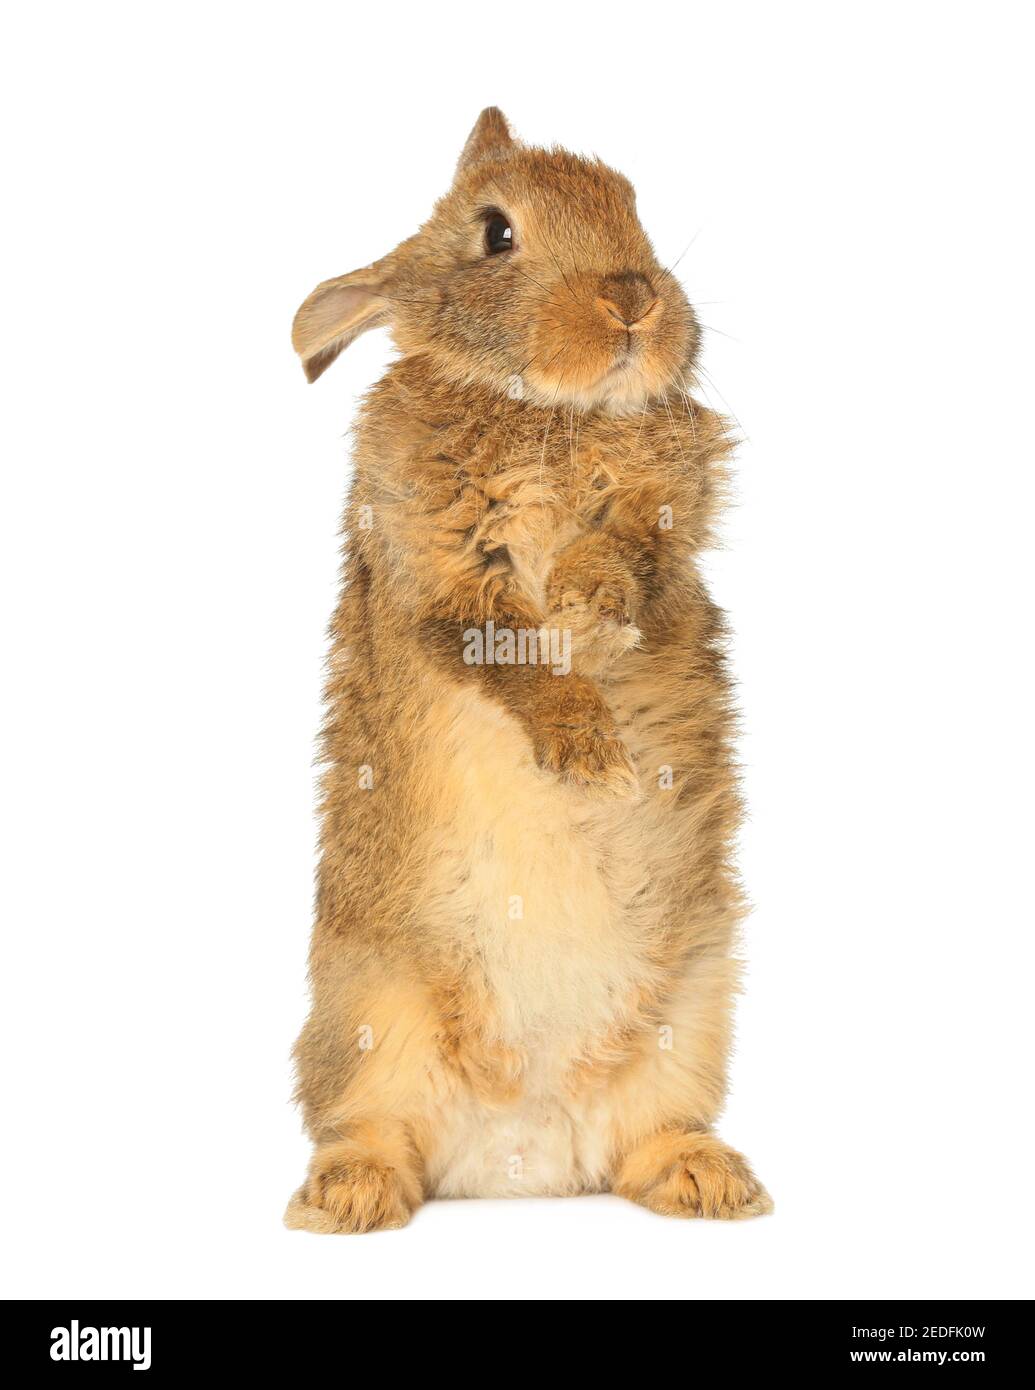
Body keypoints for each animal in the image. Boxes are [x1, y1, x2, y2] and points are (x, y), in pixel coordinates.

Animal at [284, 108, 771, 1233]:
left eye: (630, 203)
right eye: (495, 233)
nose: (632, 296)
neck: (550, 409)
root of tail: (523, 1155)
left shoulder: (667, 520)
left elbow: (630, 553)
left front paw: (591, 597)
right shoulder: (442, 579)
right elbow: (510, 657)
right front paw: (588, 749)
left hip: (695, 1009)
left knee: (649, 1133)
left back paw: (708, 1179)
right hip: (366, 1012)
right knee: (372, 1129)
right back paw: (345, 1196)